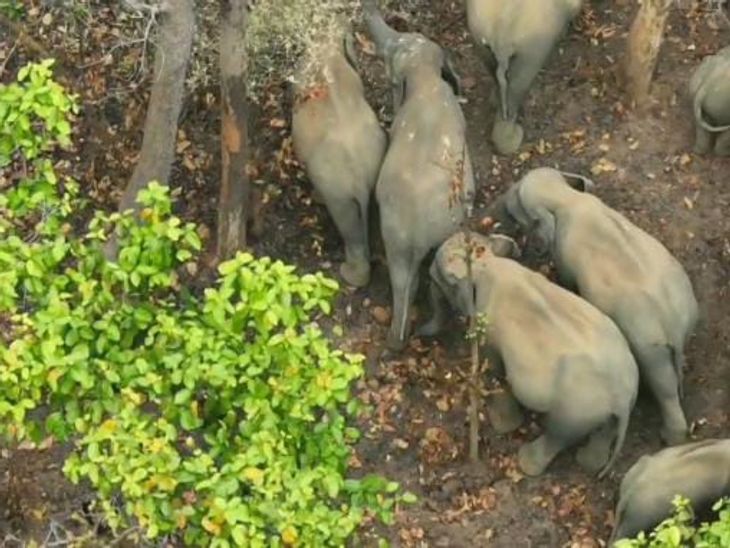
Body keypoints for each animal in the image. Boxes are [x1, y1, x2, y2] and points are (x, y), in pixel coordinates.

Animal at [363, 0, 475, 350]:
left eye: (388, 61)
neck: (425, 78)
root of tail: (414, 232)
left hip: (399, 230)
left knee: (405, 280)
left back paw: (398, 339)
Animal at [422, 232, 639, 477]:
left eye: (440, 280)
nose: (418, 332)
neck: (488, 263)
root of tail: (622, 398)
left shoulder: (489, 331)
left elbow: (495, 370)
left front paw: (504, 426)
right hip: (609, 410)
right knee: (603, 432)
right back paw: (588, 465)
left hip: (576, 411)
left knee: (558, 435)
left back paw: (525, 463)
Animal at [464, 0, 583, 155]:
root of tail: (501, 39)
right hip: (533, 46)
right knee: (518, 85)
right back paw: (513, 136)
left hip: (479, 37)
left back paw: (495, 101)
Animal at [493, 167, 699, 445]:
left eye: (518, 198)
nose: (503, 202)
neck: (570, 198)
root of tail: (674, 324)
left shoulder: (564, 251)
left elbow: (567, 278)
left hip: (648, 345)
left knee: (661, 380)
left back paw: (670, 437)